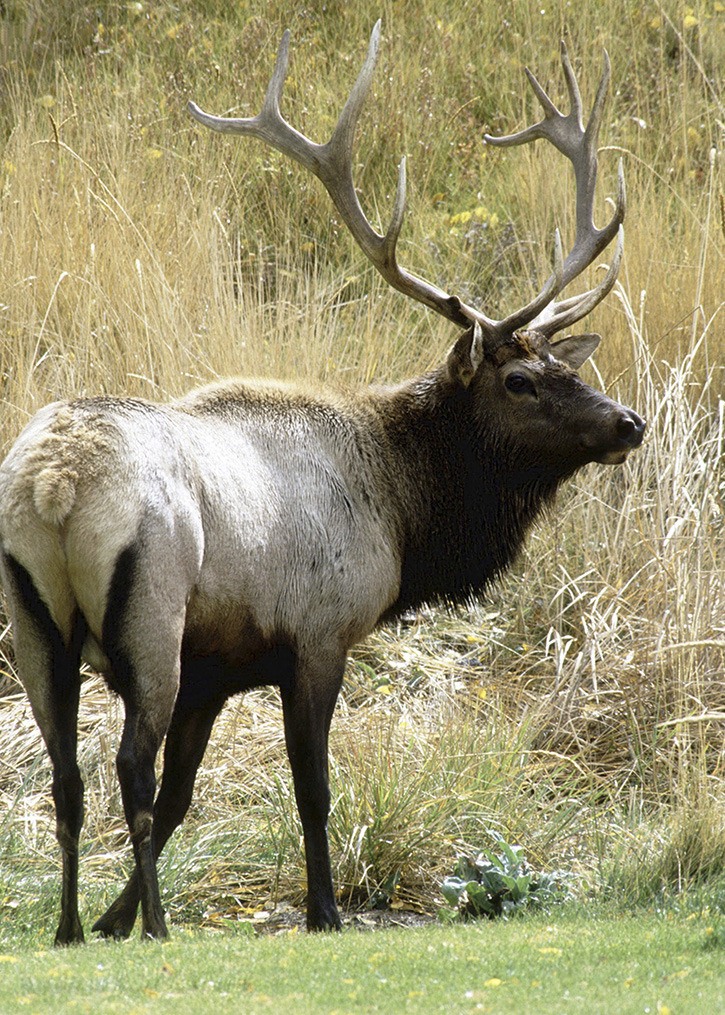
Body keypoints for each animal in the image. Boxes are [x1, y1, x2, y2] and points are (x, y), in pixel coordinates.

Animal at [0, 23, 644, 944]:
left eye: (566, 364)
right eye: (519, 380)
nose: (627, 422)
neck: (404, 512)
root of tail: (58, 484)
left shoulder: (217, 670)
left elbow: (186, 793)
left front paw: (112, 915)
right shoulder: (317, 634)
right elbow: (308, 787)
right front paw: (324, 909)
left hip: (33, 623)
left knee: (67, 777)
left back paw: (67, 927)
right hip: (151, 607)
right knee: (126, 765)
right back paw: (157, 926)